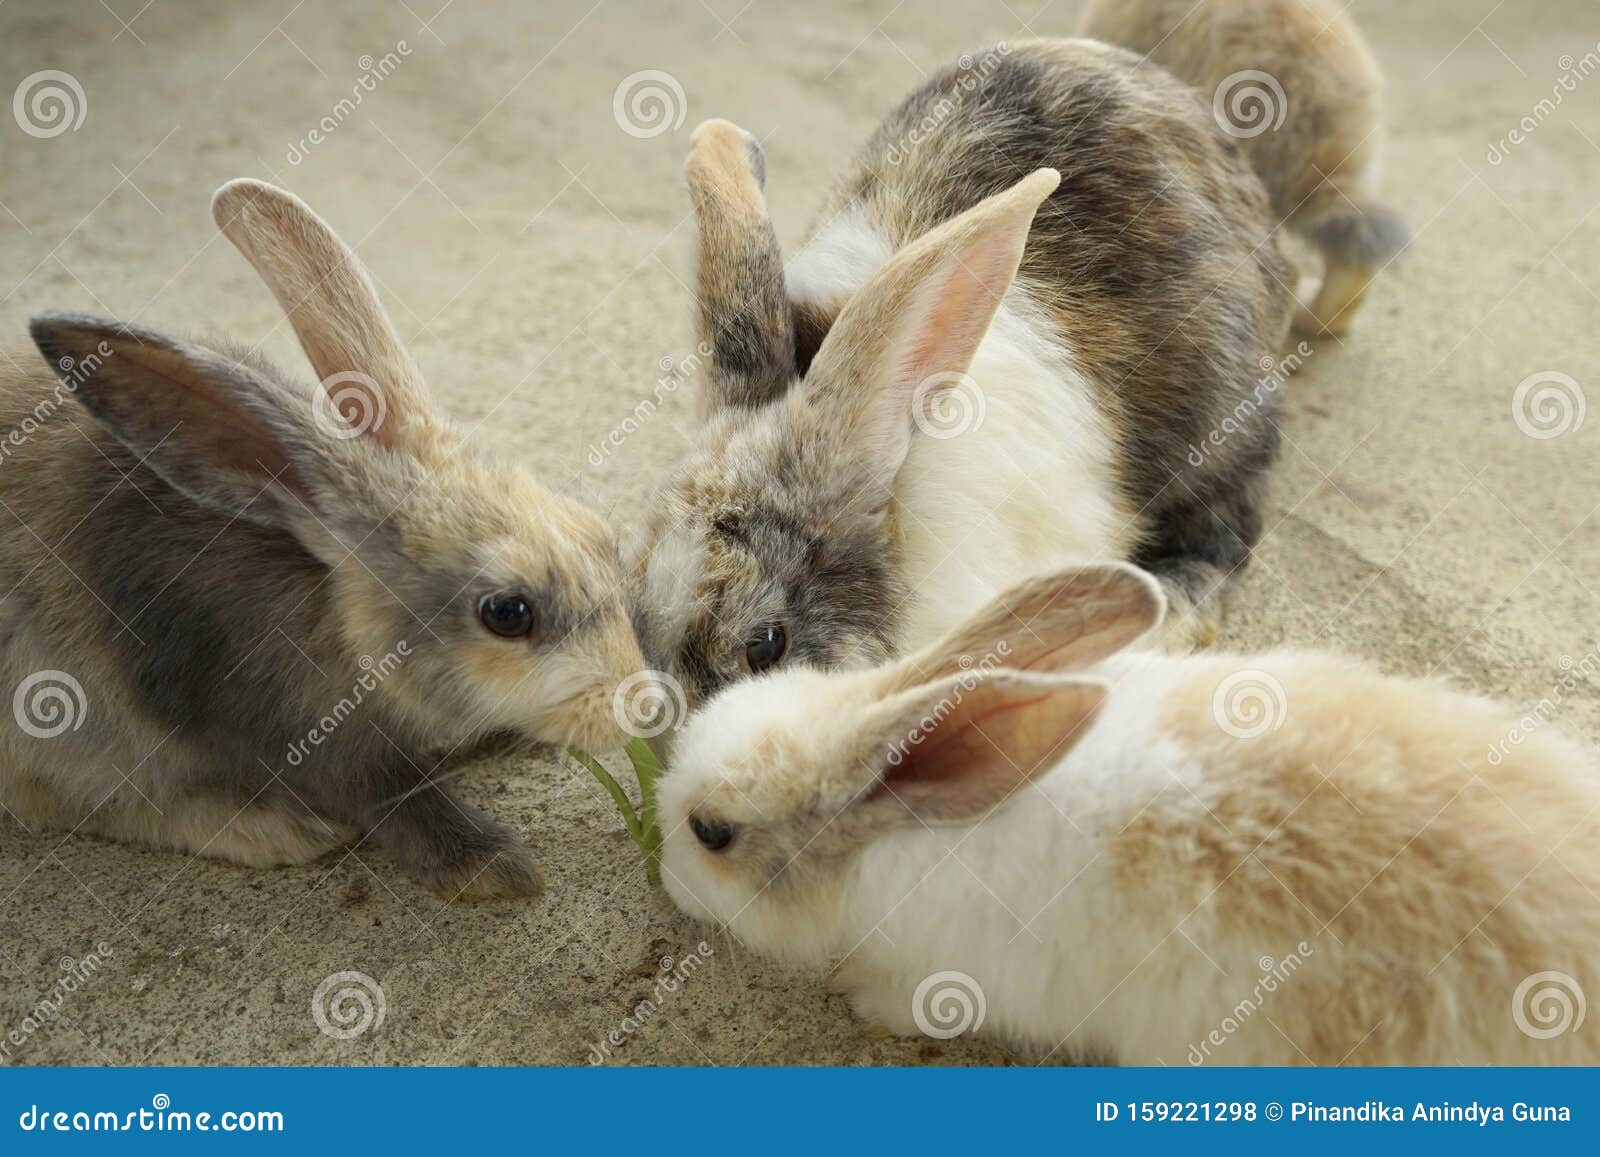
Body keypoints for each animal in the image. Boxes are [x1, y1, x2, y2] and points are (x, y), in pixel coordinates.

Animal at [0, 179, 648, 901]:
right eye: (507, 613)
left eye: (601, 537)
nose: (641, 704)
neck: (342, 622)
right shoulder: (307, 736)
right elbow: (397, 800)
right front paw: (496, 868)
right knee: (73, 804)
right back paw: (273, 830)